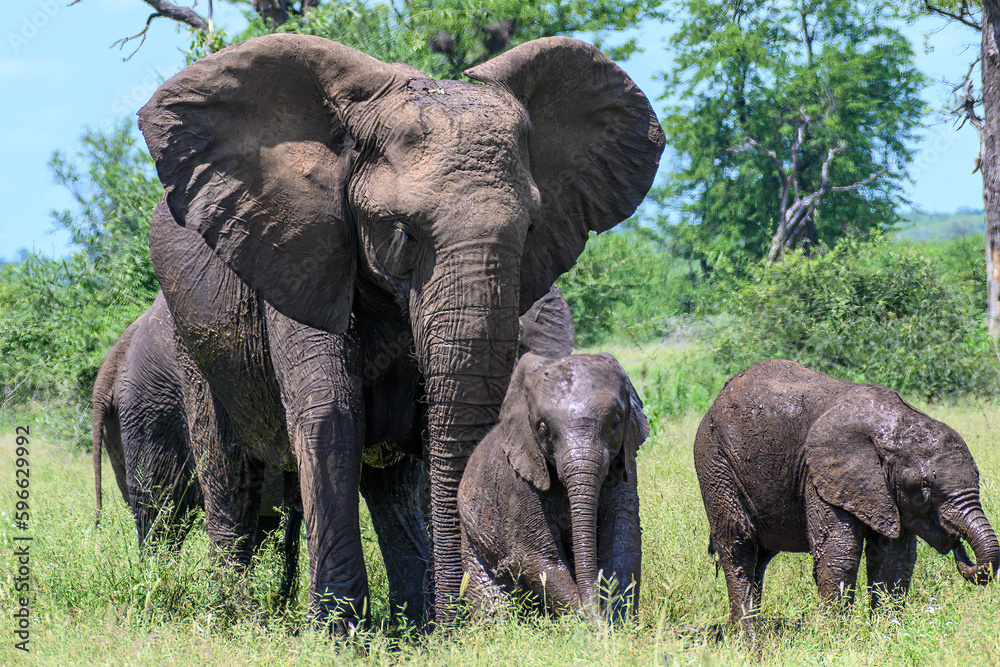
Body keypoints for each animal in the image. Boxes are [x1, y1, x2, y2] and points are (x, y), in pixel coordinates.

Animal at [458, 352, 648, 621]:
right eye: (544, 430)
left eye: (615, 423)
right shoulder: (519, 481)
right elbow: (537, 557)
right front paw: (590, 624)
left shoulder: (625, 467)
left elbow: (622, 541)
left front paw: (614, 621)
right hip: (471, 534)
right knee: (491, 604)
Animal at [694, 359, 999, 637]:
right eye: (924, 488)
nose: (959, 546)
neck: (895, 422)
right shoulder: (820, 476)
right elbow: (839, 554)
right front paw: (832, 640)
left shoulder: (889, 494)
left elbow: (893, 559)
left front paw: (886, 637)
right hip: (716, 462)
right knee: (738, 545)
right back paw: (747, 640)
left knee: (761, 555)